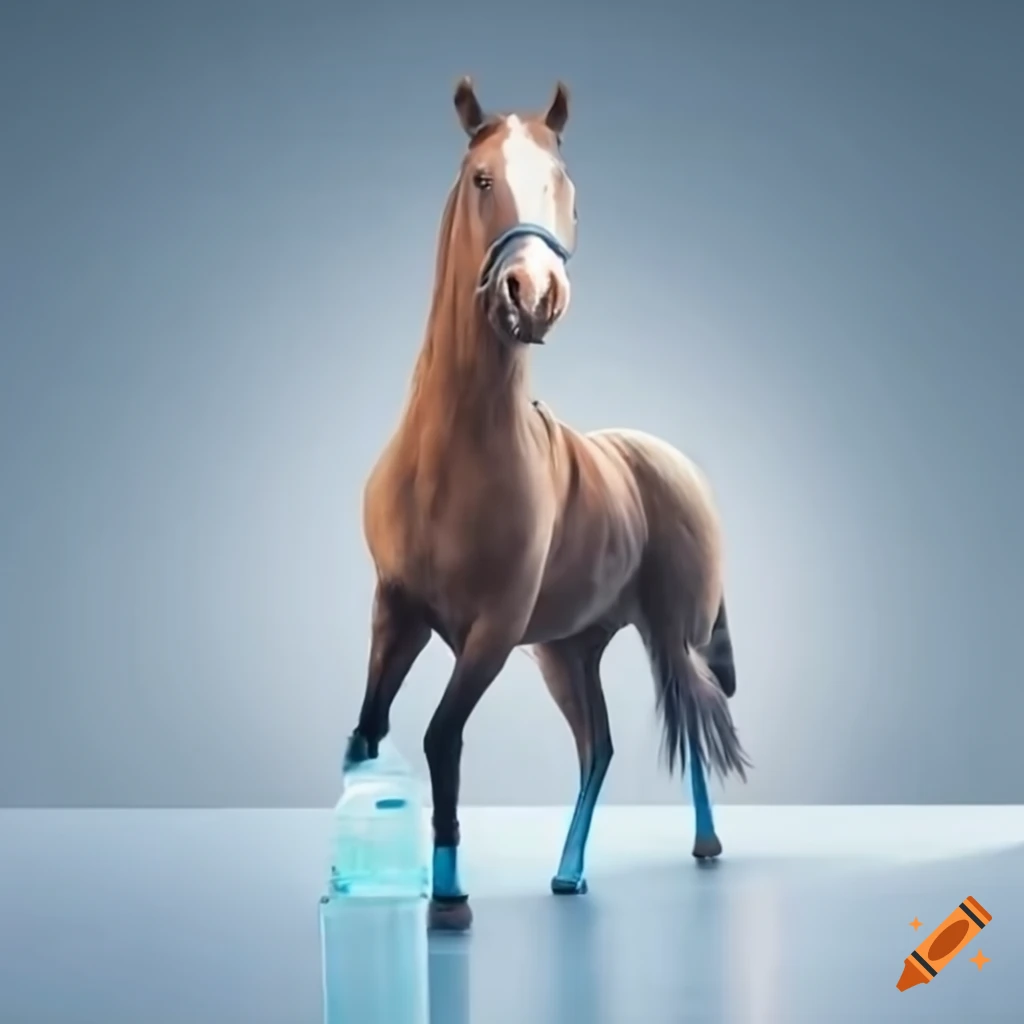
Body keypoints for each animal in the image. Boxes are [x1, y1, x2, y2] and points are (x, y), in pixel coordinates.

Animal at [344, 77, 749, 932]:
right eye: (481, 178)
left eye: (565, 187)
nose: (534, 295)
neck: (451, 457)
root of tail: (672, 460)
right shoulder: (396, 609)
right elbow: (369, 732)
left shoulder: (492, 633)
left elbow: (440, 740)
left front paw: (450, 900)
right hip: (569, 652)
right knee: (599, 746)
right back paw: (568, 873)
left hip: (673, 637)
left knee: (694, 723)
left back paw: (704, 846)